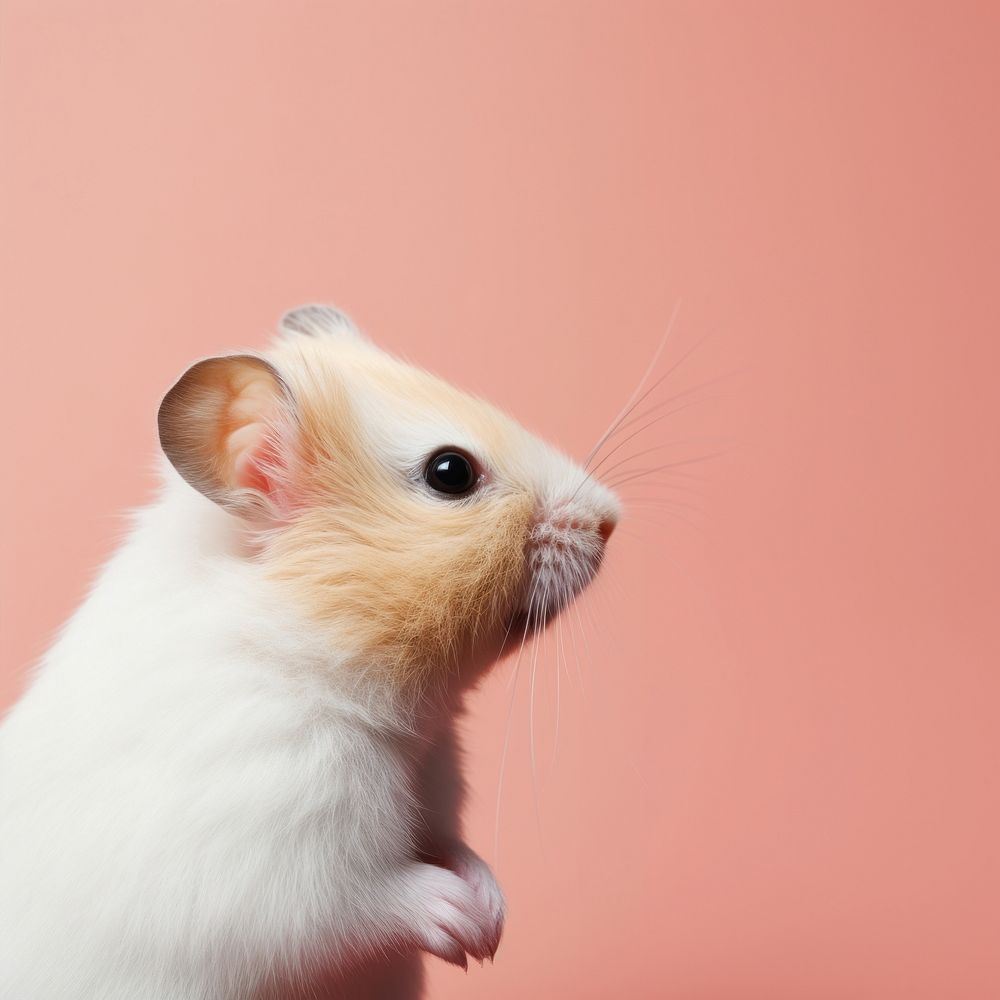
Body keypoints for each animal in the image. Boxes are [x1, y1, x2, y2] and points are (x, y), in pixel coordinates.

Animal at [0, 305, 619, 1000]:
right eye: (450, 472)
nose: (612, 519)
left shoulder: (433, 806)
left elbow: (452, 848)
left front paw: (494, 915)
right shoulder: (267, 866)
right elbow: (363, 900)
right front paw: (471, 931)